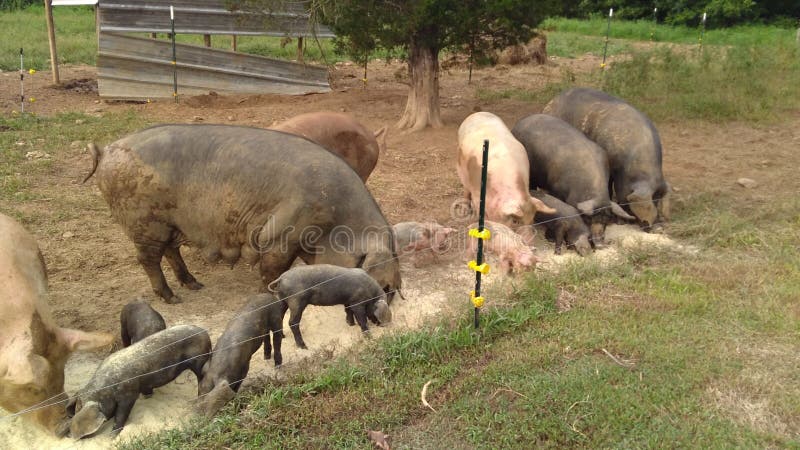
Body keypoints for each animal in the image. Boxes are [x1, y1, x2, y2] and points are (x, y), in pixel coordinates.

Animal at [66, 325, 211, 439]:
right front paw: (147, 396)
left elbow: (121, 414)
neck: (107, 390)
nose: (69, 435)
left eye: (79, 407)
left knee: (202, 378)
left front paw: (111, 437)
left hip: (199, 360)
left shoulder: (128, 394)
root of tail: (205, 332)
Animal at [84, 124, 401, 305]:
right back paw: (173, 299)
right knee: (148, 259)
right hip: (146, 223)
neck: (337, 220)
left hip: (170, 223)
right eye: (379, 284)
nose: (389, 296)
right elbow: (274, 268)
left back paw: (195, 285)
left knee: (171, 252)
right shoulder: (281, 234)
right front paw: (270, 294)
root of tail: (106, 150)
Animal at [511, 114, 634, 247]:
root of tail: (522, 121)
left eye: (607, 219)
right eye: (588, 219)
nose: (600, 244)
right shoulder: (556, 189)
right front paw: (552, 239)